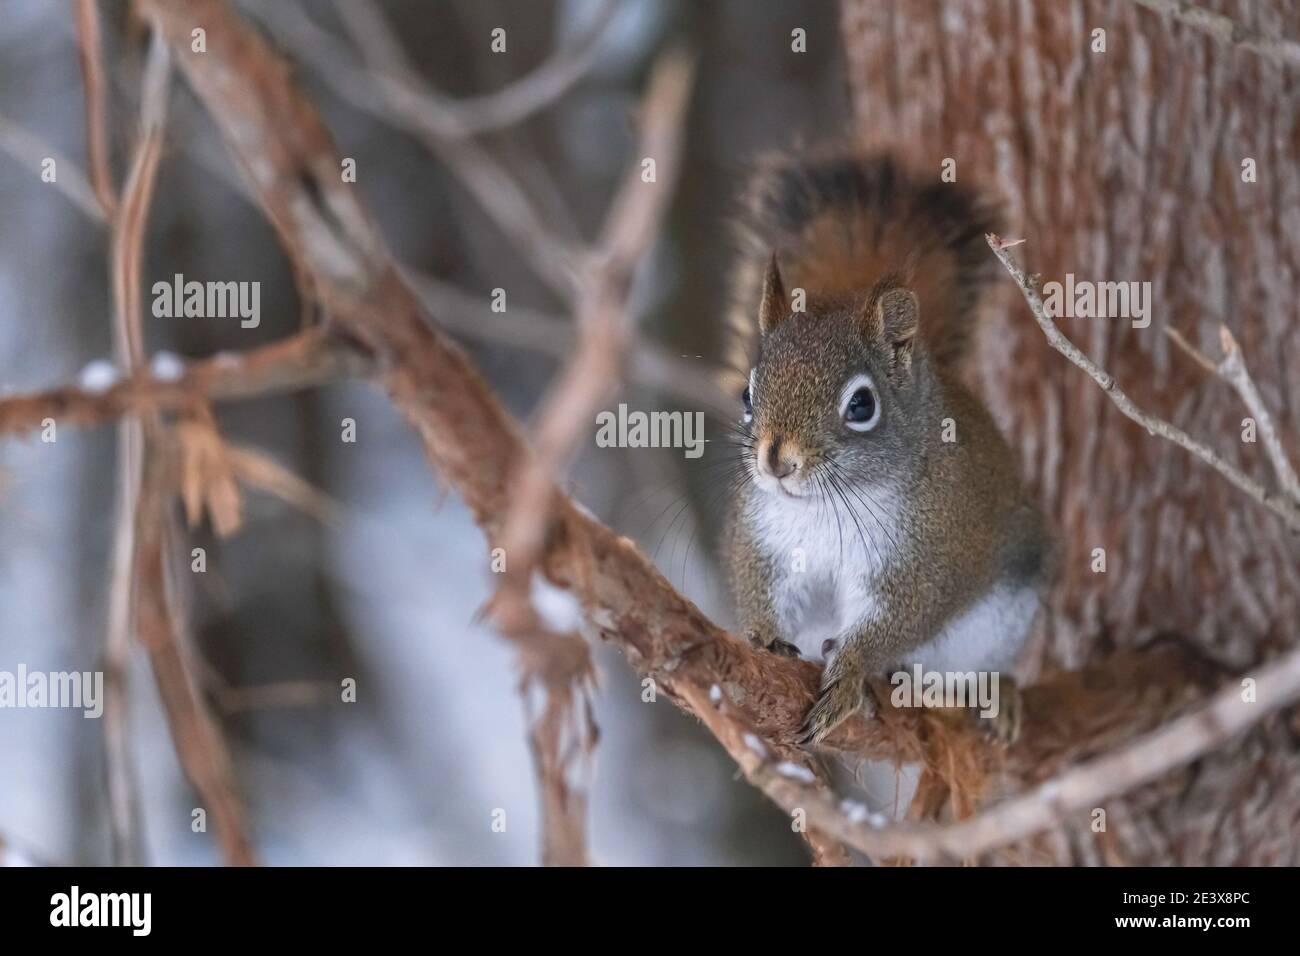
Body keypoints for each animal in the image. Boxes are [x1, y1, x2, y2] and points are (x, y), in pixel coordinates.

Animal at [720, 150, 1052, 746]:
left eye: (861, 406)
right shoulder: (763, 536)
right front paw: (761, 635)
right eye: (747, 394)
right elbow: (760, 586)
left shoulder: (927, 558)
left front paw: (850, 676)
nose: (776, 461)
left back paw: (1000, 696)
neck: (825, 506)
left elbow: (897, 620)